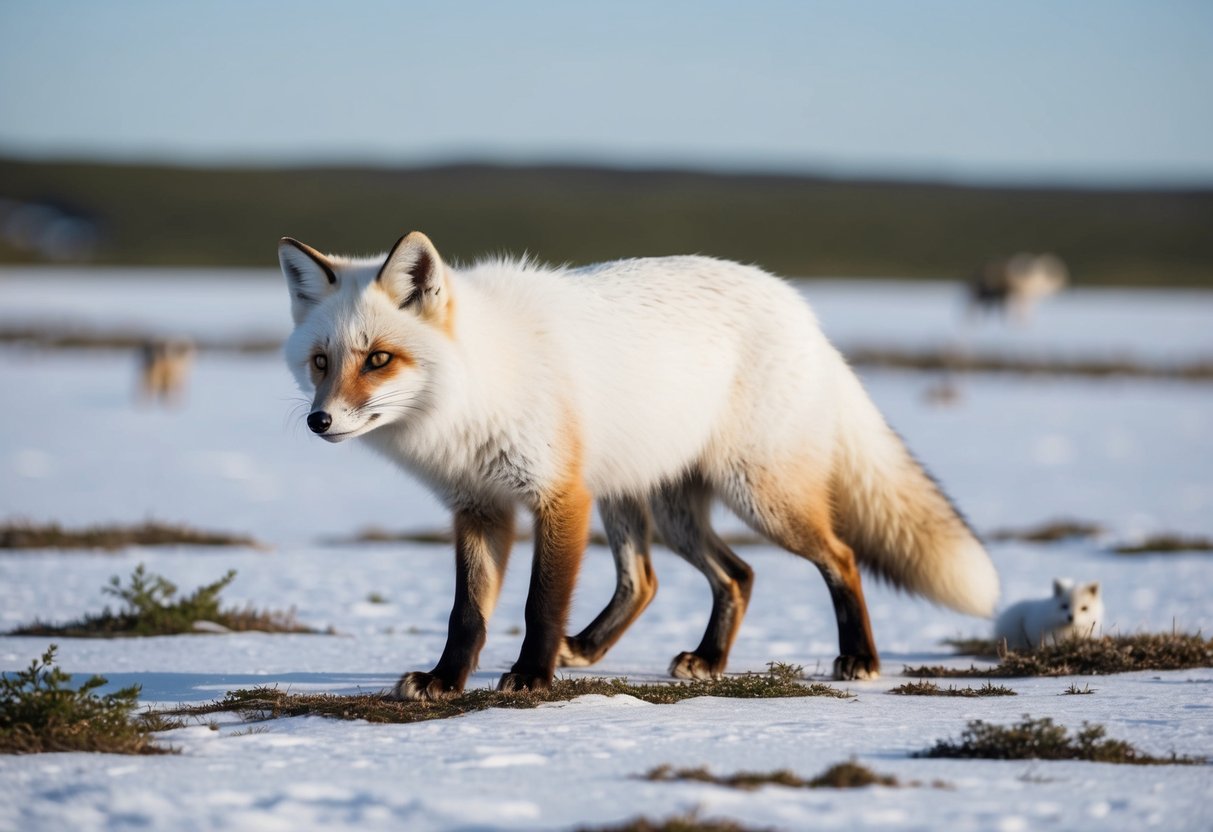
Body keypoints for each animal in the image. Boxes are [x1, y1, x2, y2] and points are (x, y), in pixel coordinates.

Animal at [279, 232, 1000, 700]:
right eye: (321, 362)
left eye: (378, 358)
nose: (319, 421)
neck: (478, 386)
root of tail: (800, 310)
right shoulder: (479, 507)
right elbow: (467, 614)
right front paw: (445, 681)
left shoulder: (557, 495)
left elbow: (540, 603)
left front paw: (531, 677)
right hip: (653, 504)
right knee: (700, 577)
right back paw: (689, 657)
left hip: (758, 497)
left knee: (840, 557)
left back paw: (857, 658)